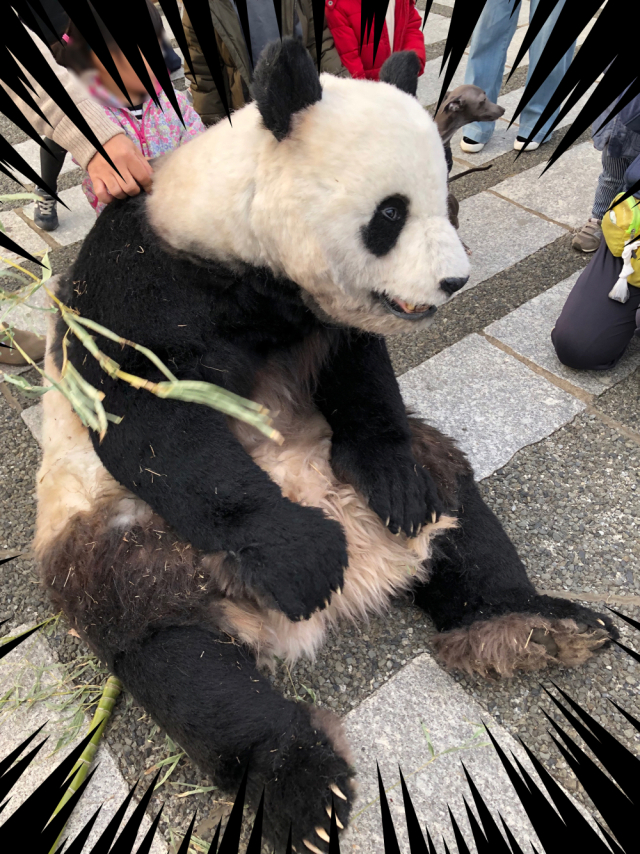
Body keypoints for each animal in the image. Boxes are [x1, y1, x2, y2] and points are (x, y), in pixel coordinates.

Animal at [33, 40, 615, 853]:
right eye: (390, 214)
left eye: (447, 196)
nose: (453, 282)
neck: (237, 245)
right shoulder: (142, 283)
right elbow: (150, 422)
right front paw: (300, 554)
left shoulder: (313, 319)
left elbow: (360, 375)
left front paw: (395, 482)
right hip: (131, 540)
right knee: (175, 652)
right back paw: (302, 786)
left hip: (377, 468)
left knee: (453, 498)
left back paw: (531, 624)